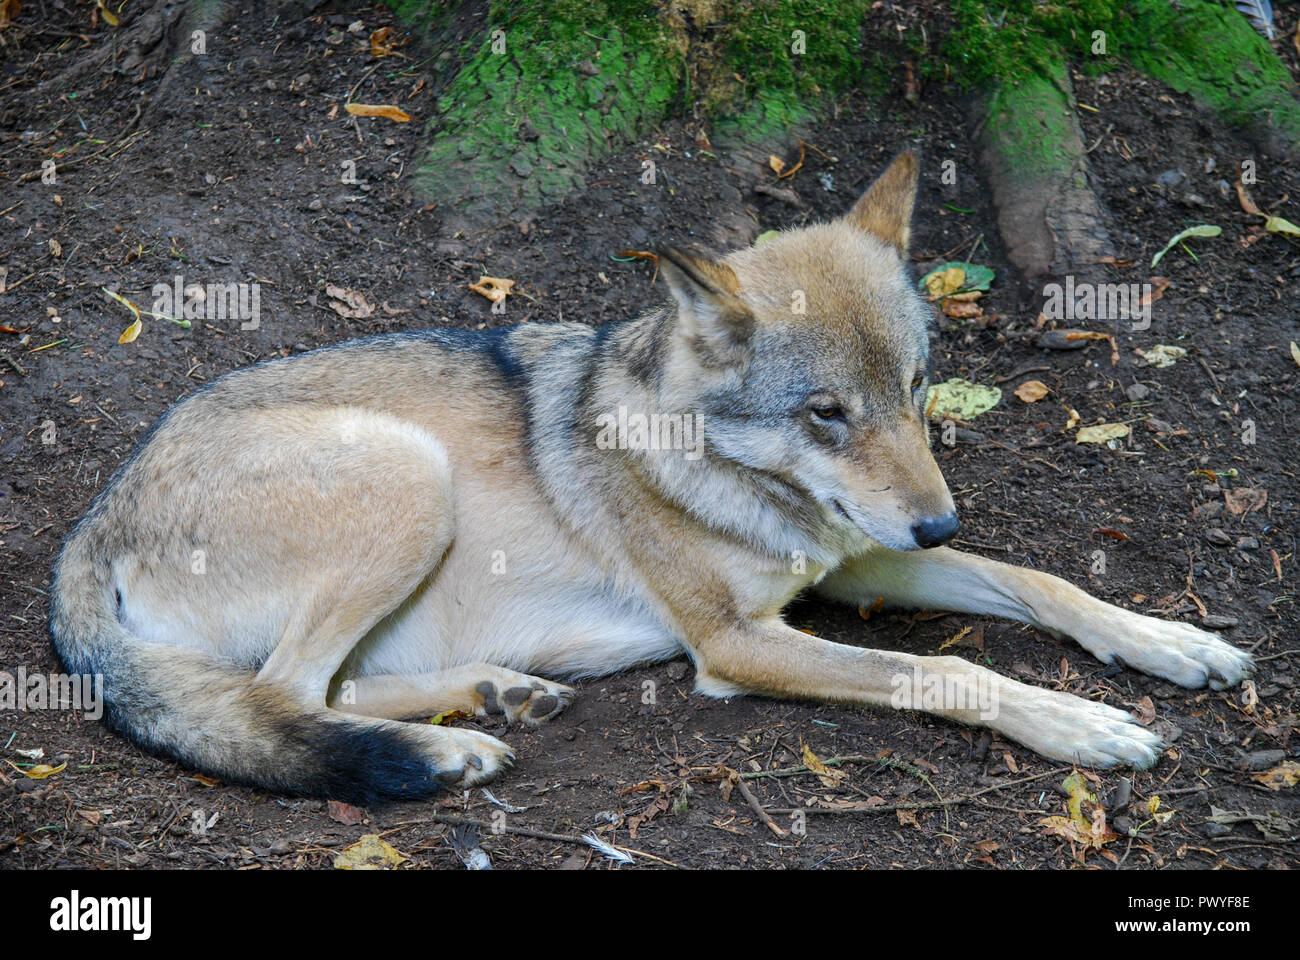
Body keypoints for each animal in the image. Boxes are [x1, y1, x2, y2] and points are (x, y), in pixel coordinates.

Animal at [50, 153, 1252, 803]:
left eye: (918, 389)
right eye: (827, 413)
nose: (937, 522)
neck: (725, 471)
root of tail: (88, 529)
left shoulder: (854, 567)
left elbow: (1043, 584)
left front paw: (1173, 644)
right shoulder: (739, 644)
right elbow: (952, 671)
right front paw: (1084, 729)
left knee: (313, 693)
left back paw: (496, 693)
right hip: (408, 475)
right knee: (287, 697)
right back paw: (444, 749)